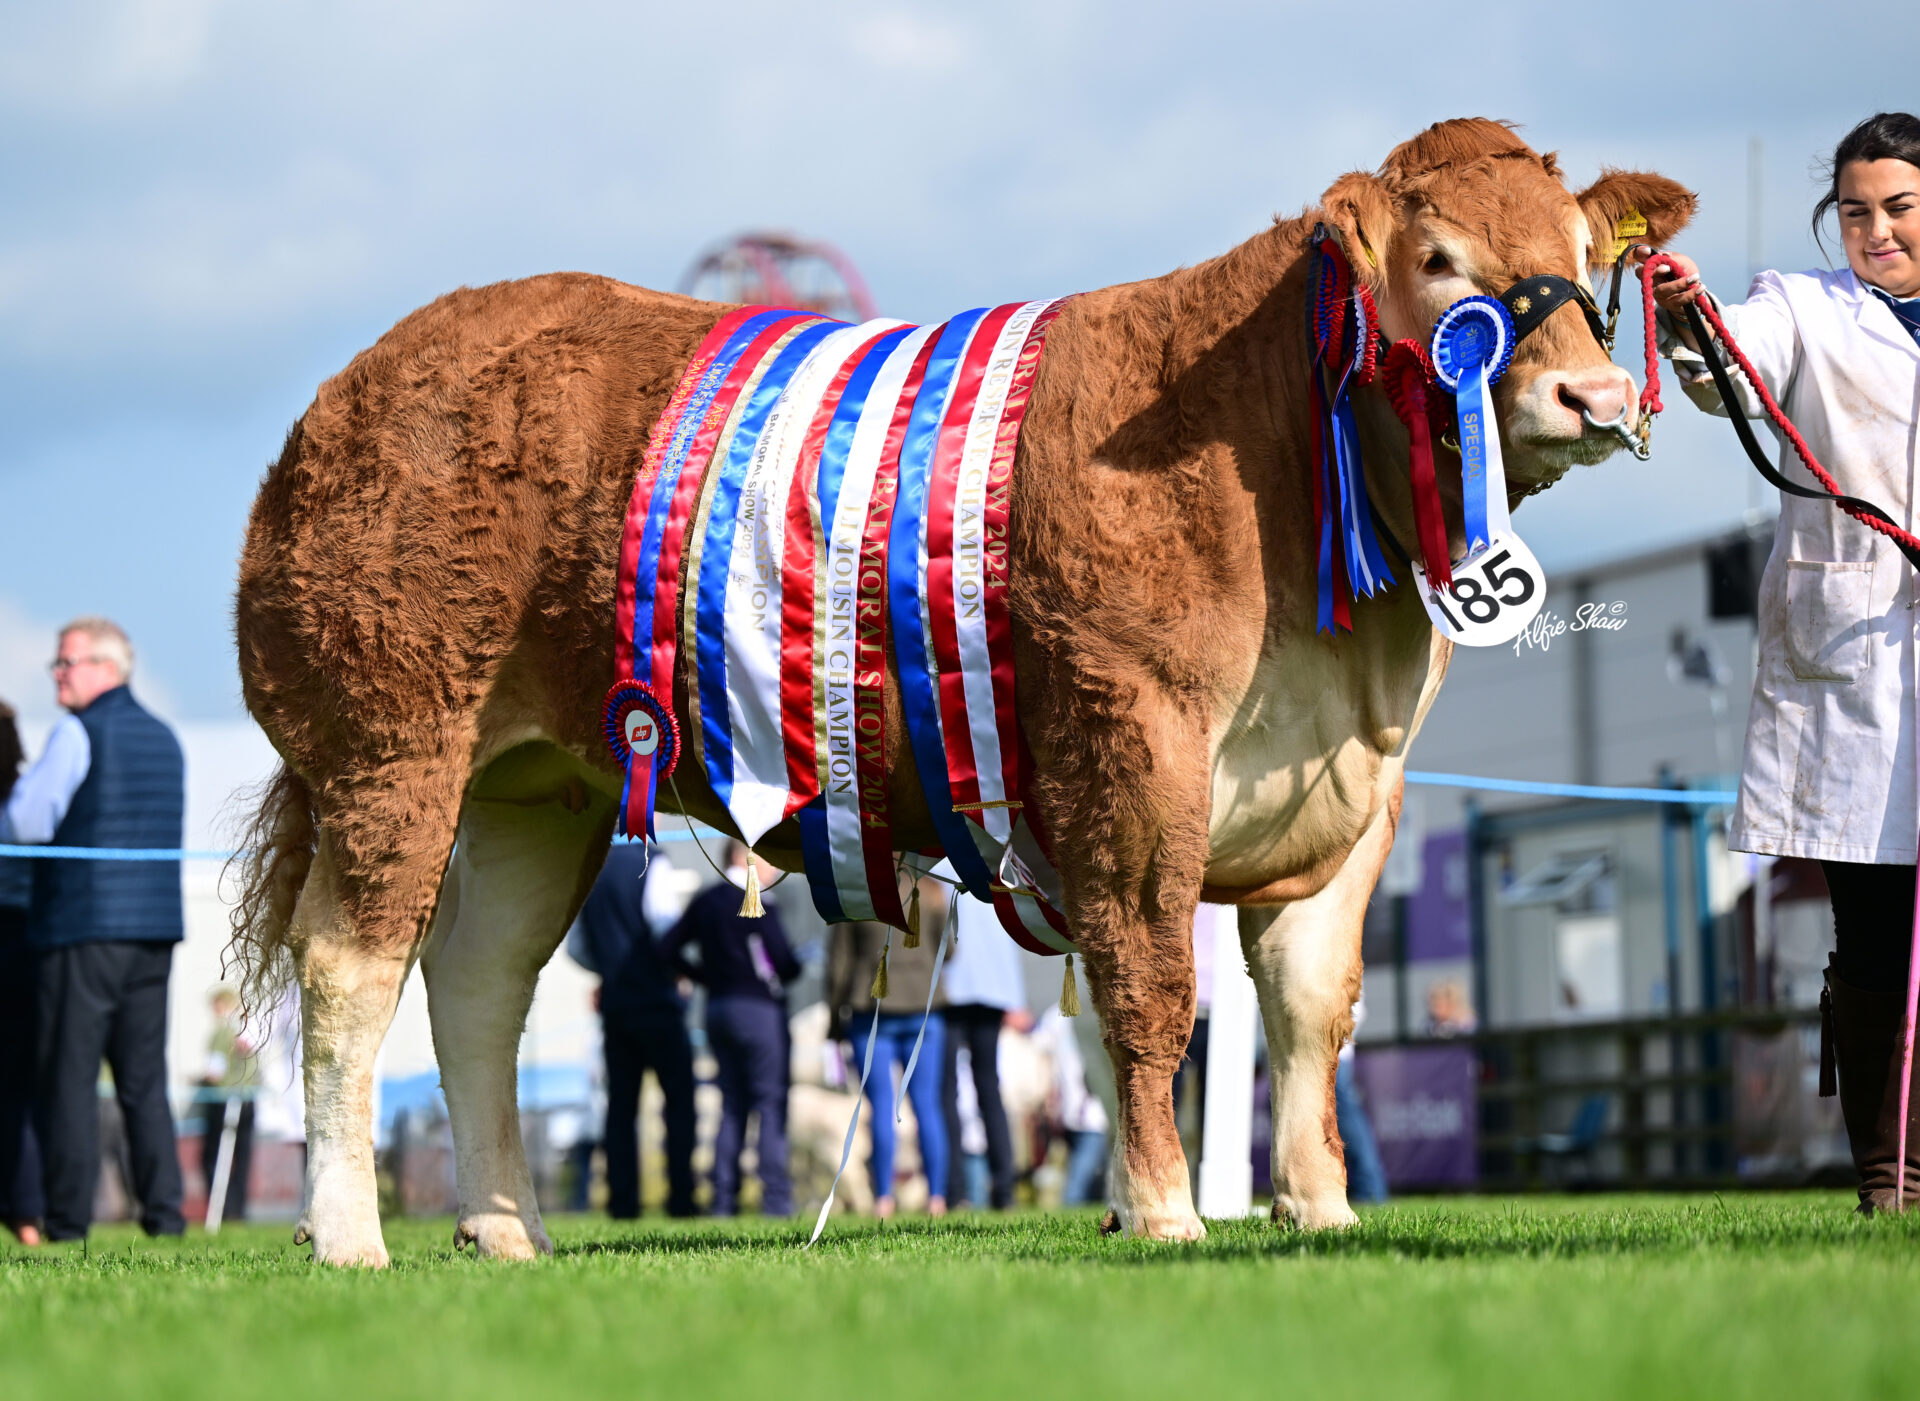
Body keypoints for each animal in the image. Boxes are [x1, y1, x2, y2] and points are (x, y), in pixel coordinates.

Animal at [228, 118, 1693, 1265]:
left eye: (1587, 259)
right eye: (1442, 264)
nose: (1595, 393)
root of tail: (364, 382)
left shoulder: (1358, 795)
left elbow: (1309, 1014)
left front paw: (1316, 1210)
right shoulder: (1129, 741)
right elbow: (1150, 985)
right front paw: (1169, 1214)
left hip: (540, 785)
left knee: (478, 982)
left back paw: (503, 1227)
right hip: (392, 744)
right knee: (350, 968)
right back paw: (349, 1234)